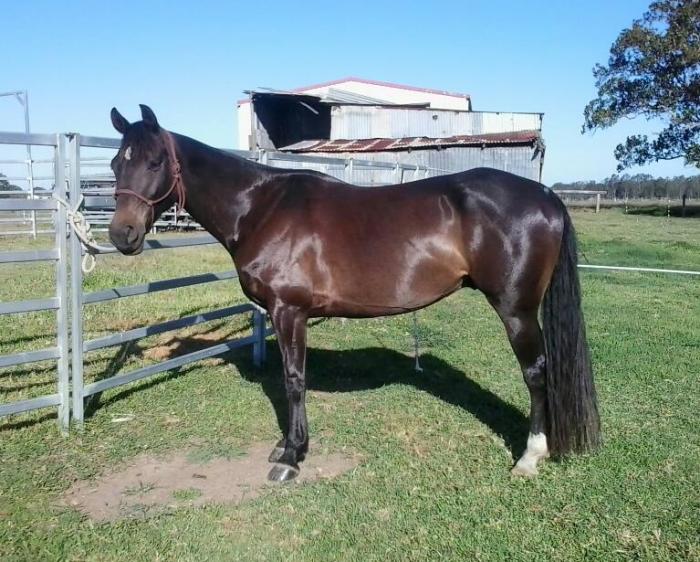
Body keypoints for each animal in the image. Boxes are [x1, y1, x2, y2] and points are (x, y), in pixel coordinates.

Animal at [108, 105, 600, 482]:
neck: (260, 208)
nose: (121, 235)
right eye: (116, 164)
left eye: (155, 162)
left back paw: (529, 457)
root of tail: (545, 194)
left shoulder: (289, 311)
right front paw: (286, 447)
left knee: (536, 373)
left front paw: (292, 457)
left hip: (517, 311)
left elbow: (294, 381)